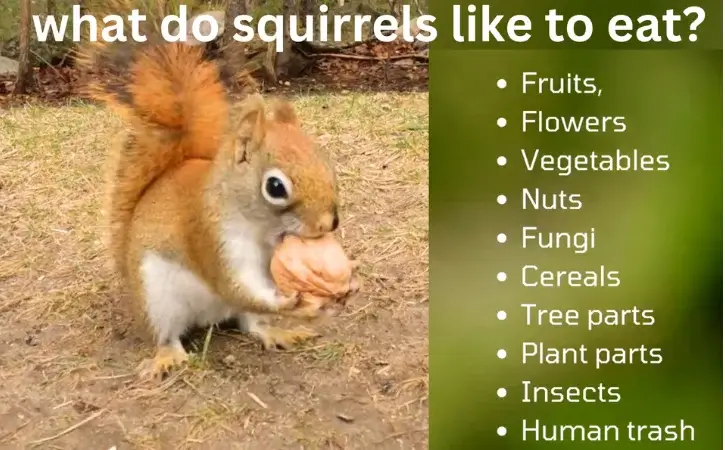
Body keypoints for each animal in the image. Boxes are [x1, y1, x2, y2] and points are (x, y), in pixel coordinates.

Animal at [77, 41, 351, 381]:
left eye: (327, 165)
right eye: (275, 187)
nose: (328, 223)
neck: (260, 230)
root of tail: (209, 317)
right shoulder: (211, 238)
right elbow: (236, 285)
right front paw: (295, 304)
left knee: (251, 323)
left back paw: (277, 332)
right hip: (156, 300)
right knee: (167, 334)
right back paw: (166, 356)